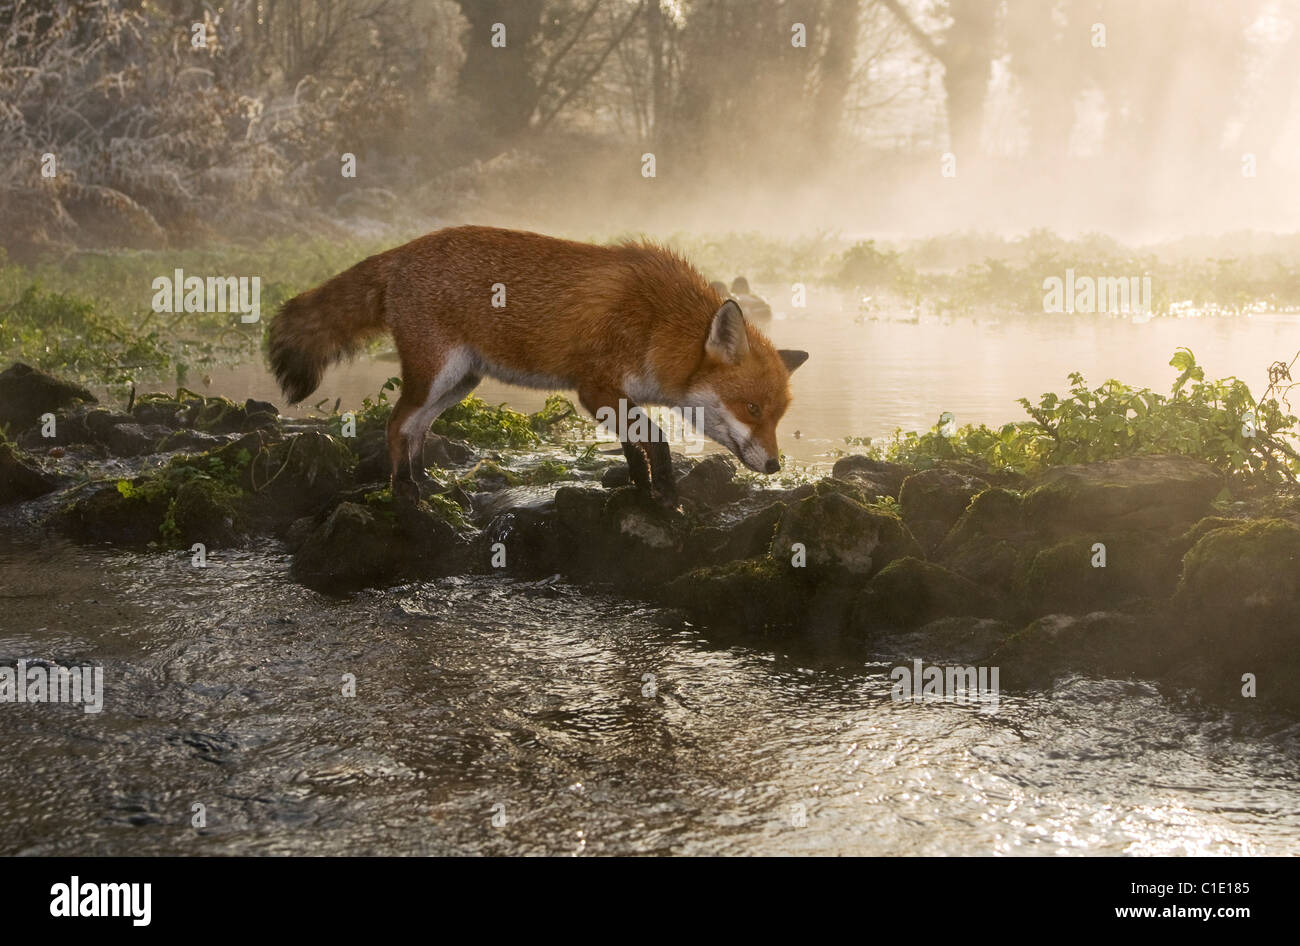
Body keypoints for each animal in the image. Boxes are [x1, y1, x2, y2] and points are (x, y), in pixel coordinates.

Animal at [268, 225, 808, 504]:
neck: (659, 324)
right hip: (436, 374)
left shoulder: (612, 397)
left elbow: (633, 447)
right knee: (396, 424)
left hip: (459, 382)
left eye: (778, 416)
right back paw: (405, 493)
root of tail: (403, 250)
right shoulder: (595, 388)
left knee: (416, 428)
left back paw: (427, 483)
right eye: (752, 409)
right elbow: (654, 440)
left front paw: (639, 489)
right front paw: (666, 497)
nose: (776, 465)